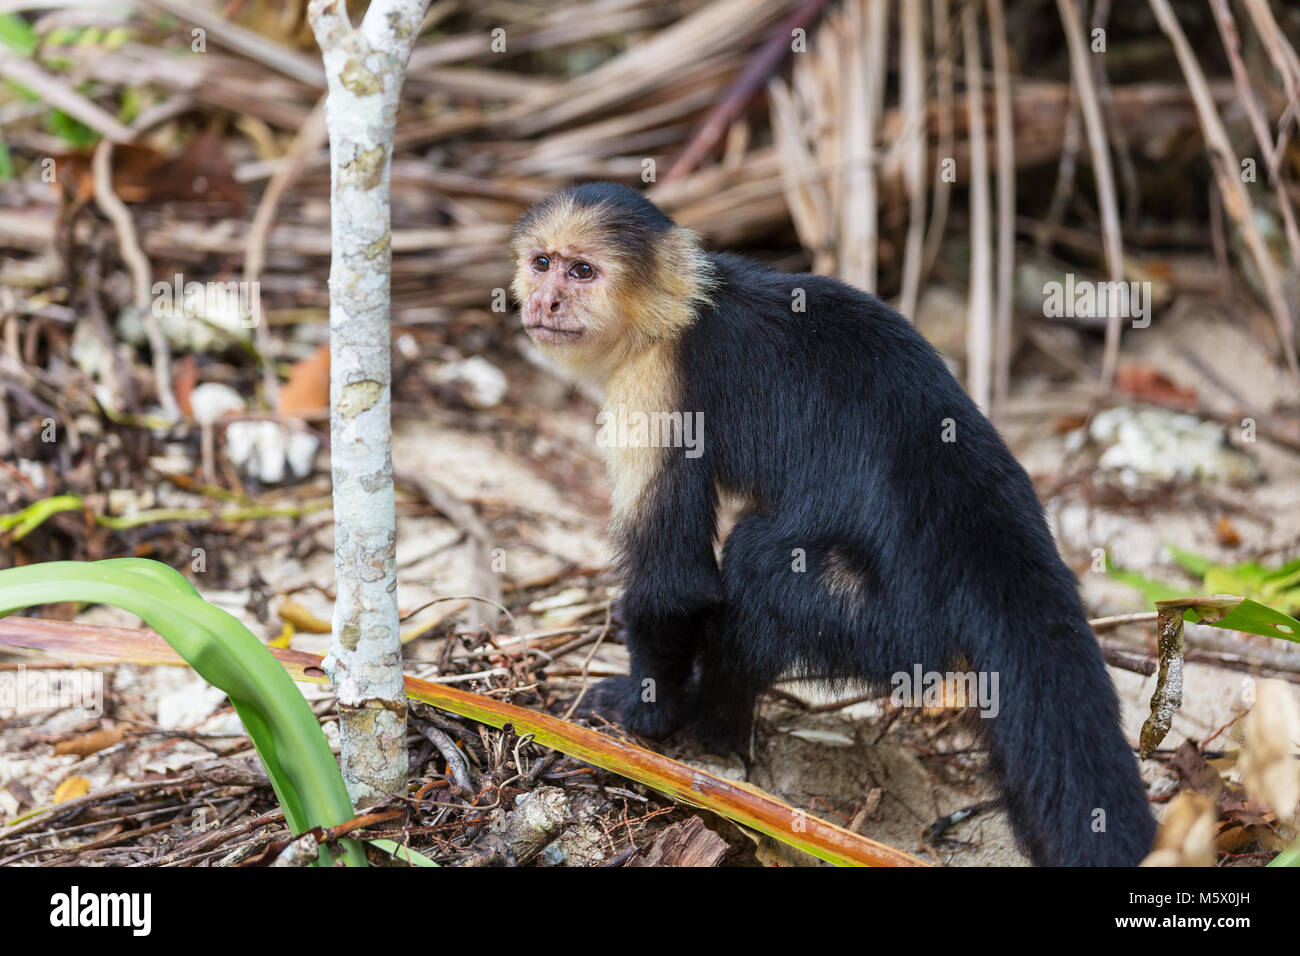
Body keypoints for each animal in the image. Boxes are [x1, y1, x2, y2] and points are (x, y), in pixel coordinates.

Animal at [510, 181, 1156, 867]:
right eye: (543, 263)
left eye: (582, 271)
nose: (547, 299)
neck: (676, 314)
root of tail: (983, 536)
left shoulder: (654, 387)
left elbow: (675, 582)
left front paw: (645, 713)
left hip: (886, 627)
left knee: (760, 565)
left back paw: (715, 729)